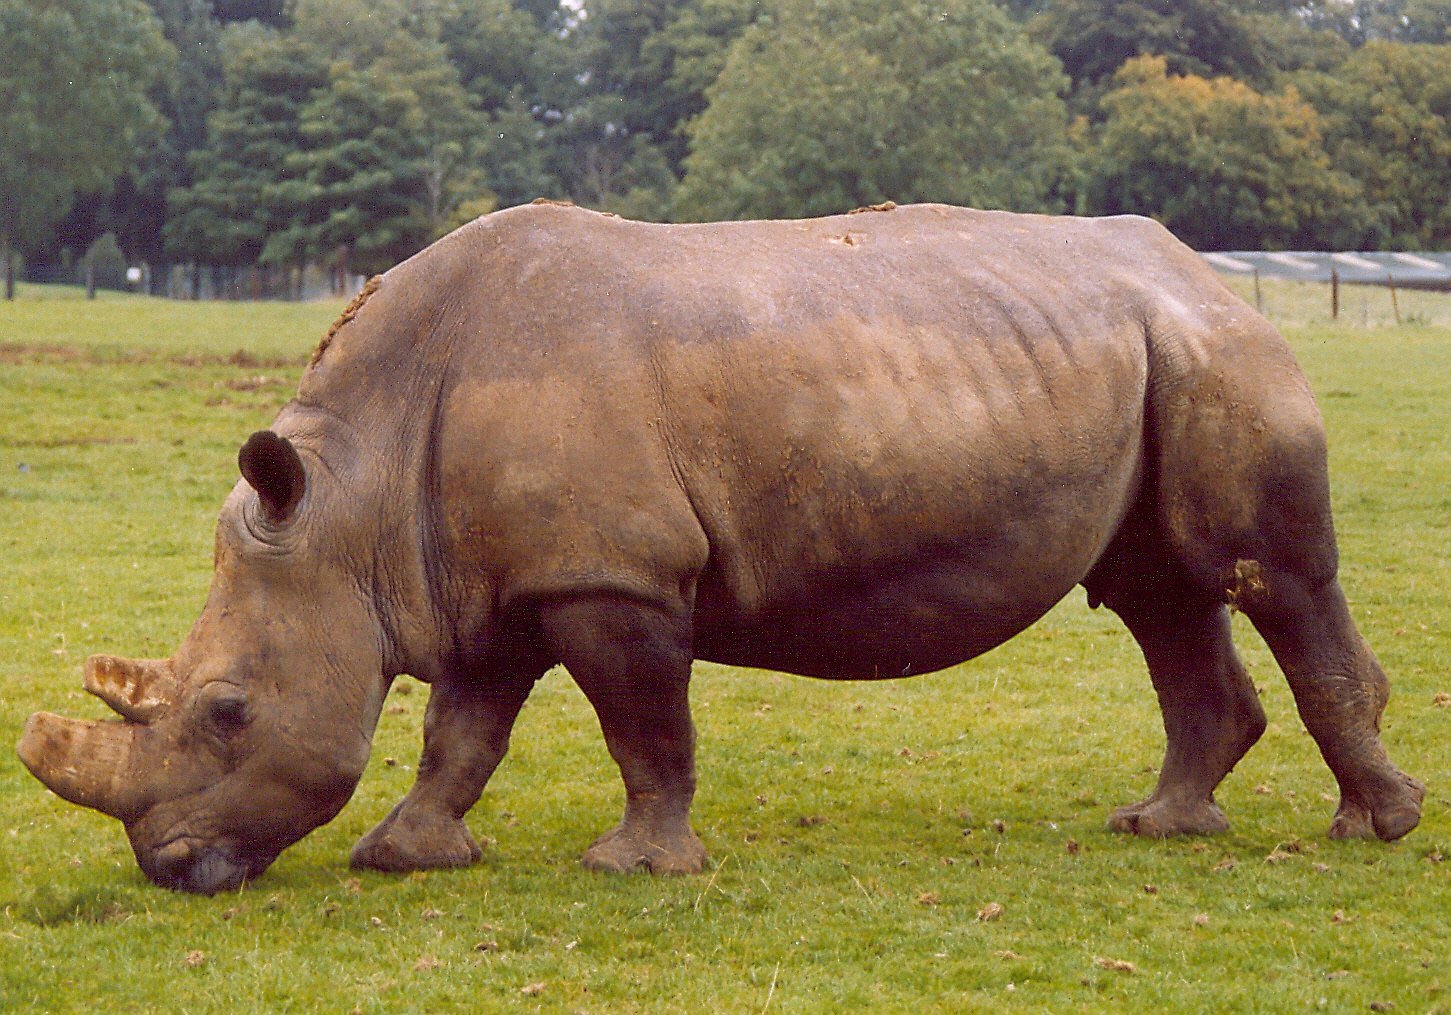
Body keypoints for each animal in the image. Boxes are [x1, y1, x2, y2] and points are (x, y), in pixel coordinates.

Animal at [19, 202, 1424, 894]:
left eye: (227, 712)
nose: (167, 870)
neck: (350, 502)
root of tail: (1206, 271)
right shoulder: (489, 577)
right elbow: (461, 728)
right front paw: (405, 856)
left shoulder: (610, 574)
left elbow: (643, 724)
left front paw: (635, 870)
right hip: (1129, 350)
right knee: (1153, 591)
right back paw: (1159, 828)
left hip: (1216, 353)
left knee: (1265, 574)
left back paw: (1372, 832)